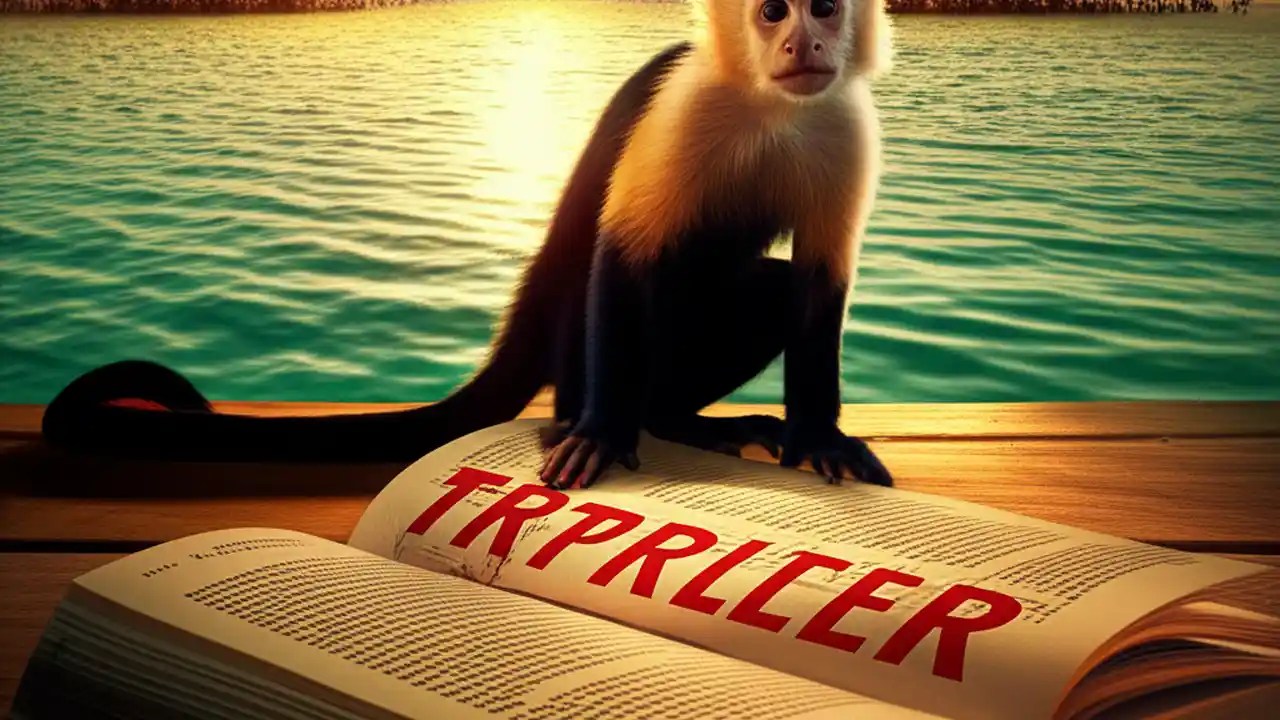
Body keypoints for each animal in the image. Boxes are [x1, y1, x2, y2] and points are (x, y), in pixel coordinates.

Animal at [40, 0, 894, 491]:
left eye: (824, 7)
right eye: (774, 10)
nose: (804, 45)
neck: (767, 108)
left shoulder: (845, 125)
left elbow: (818, 283)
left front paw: (819, 436)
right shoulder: (684, 106)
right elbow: (624, 255)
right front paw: (602, 434)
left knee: (769, 286)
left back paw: (690, 420)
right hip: (574, 341)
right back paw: (650, 420)